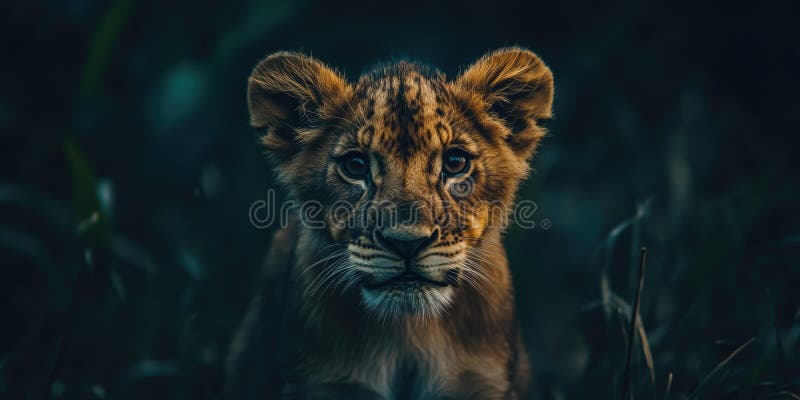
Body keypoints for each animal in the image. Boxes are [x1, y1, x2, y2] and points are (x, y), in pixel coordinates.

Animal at [226, 47, 554, 399]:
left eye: (455, 163)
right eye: (355, 165)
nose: (406, 243)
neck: (408, 331)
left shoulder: (481, 380)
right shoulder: (323, 382)